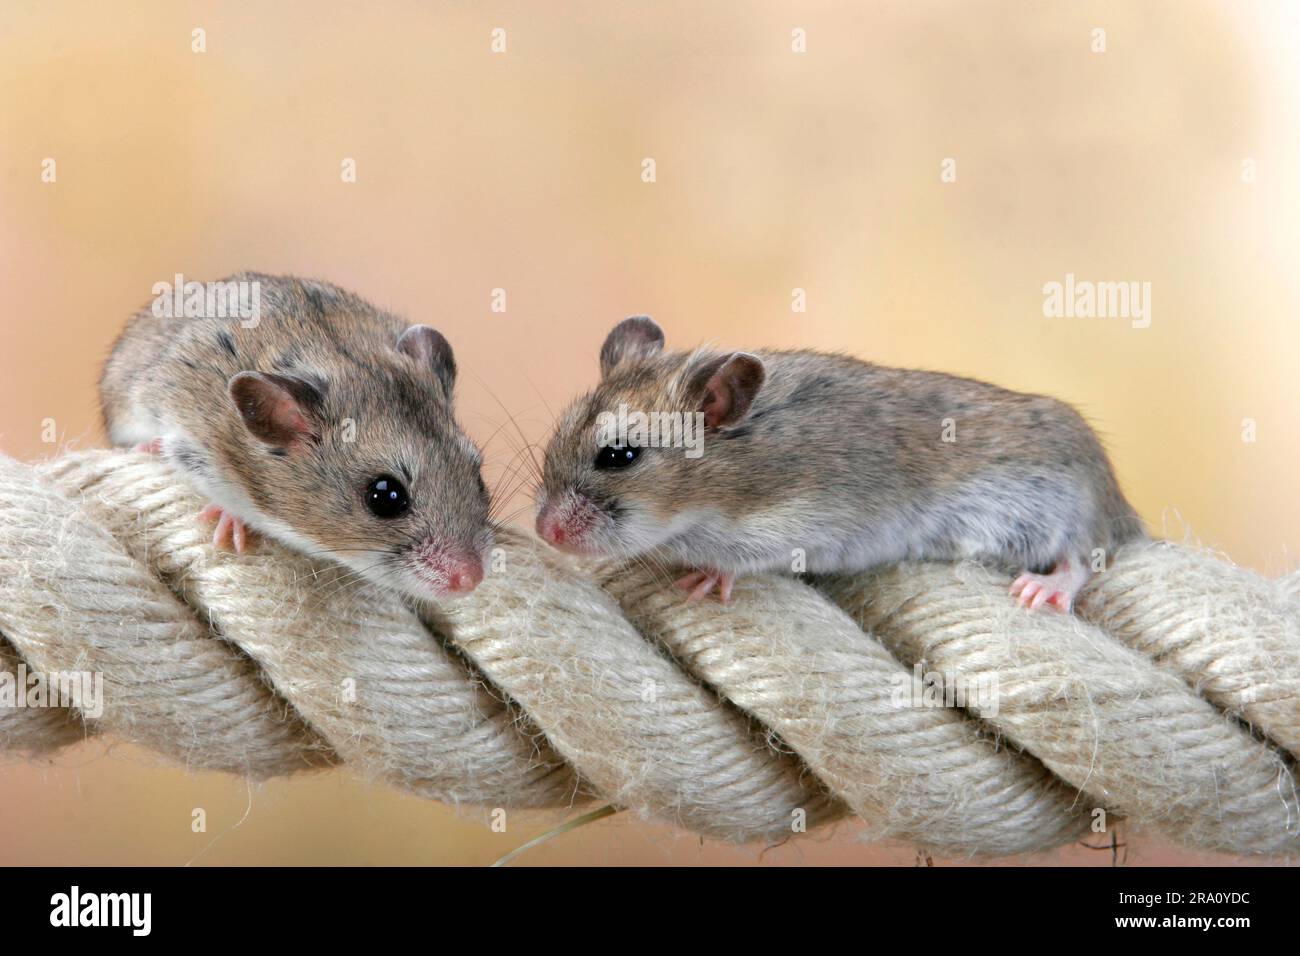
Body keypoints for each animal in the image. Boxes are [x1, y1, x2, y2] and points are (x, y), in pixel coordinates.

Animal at [535, 316, 1146, 611]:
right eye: (554, 437)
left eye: (620, 455)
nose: (545, 532)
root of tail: (1121, 505)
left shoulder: (805, 519)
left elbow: (744, 561)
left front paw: (706, 580)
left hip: (1058, 512)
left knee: (1083, 558)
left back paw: (1042, 591)